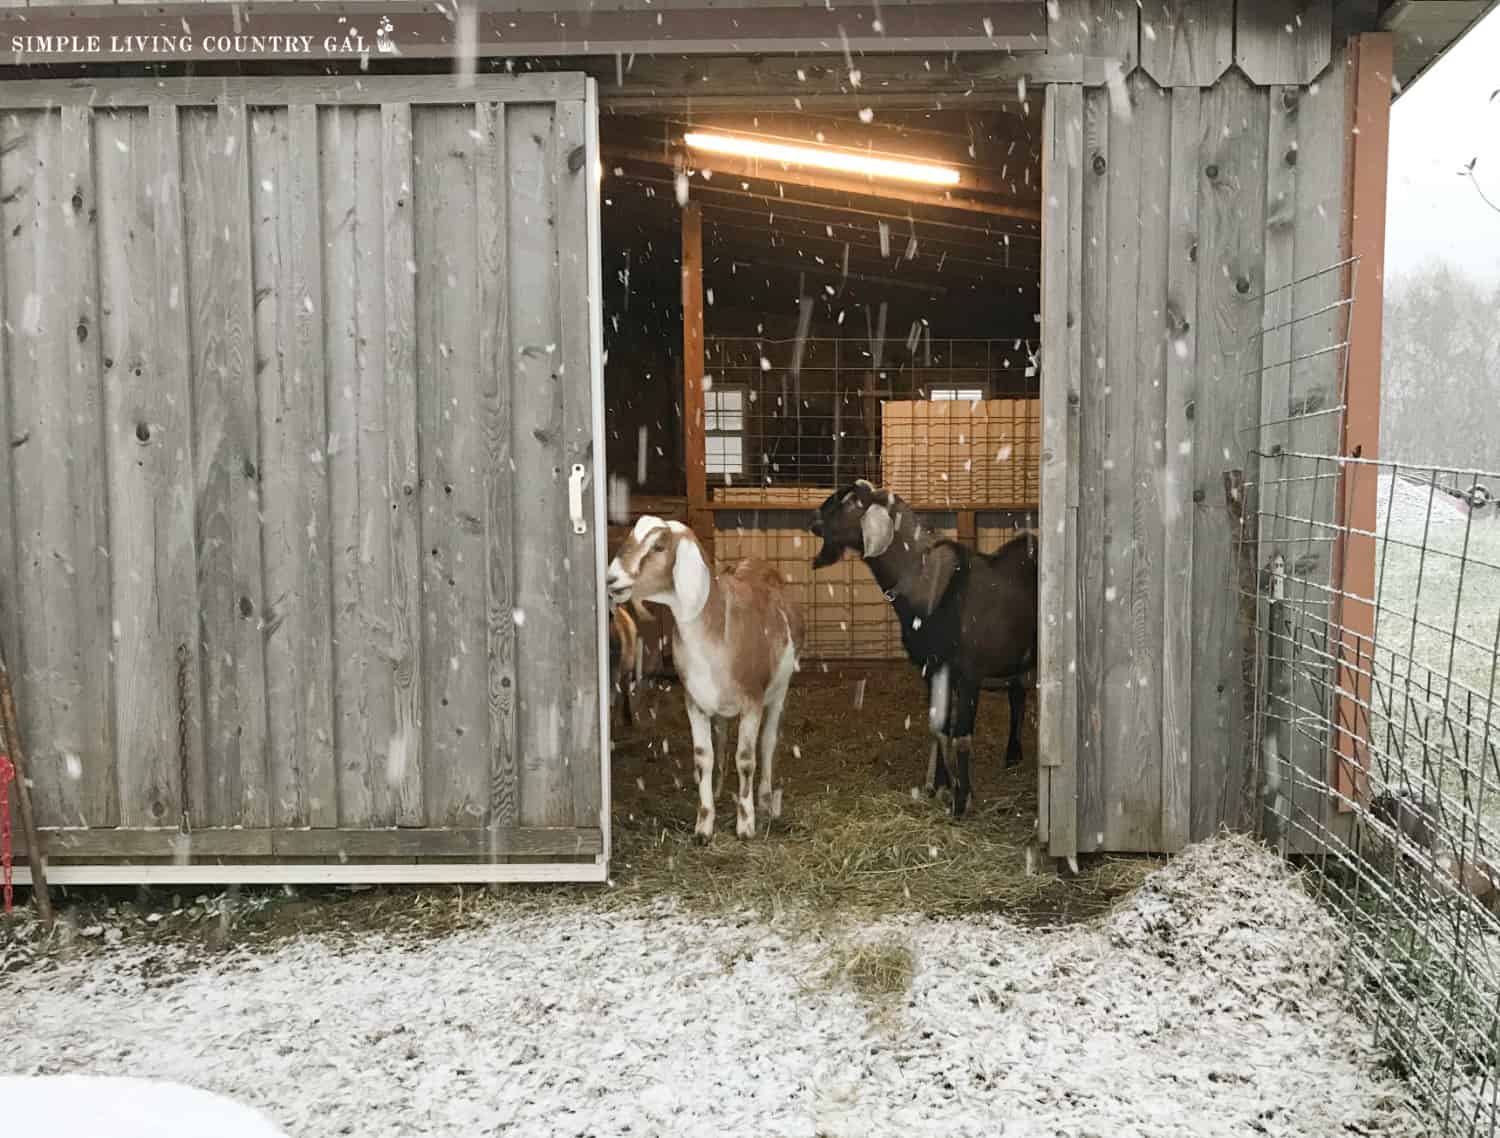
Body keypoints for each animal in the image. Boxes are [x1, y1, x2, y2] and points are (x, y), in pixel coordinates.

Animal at [606, 516, 803, 842]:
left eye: (659, 546)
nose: (612, 579)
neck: (717, 627)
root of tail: (755, 561)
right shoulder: (694, 702)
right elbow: (703, 757)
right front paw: (704, 825)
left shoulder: (752, 701)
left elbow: (746, 759)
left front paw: (746, 825)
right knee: (722, 738)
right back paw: (722, 788)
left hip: (779, 691)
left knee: (767, 743)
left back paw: (764, 800)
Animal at [809, 480, 1037, 819]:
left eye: (849, 502)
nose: (813, 521)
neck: (929, 584)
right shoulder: (932, 668)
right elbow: (938, 727)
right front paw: (939, 787)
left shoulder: (968, 672)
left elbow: (961, 736)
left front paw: (961, 801)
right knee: (1018, 694)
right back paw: (1012, 754)